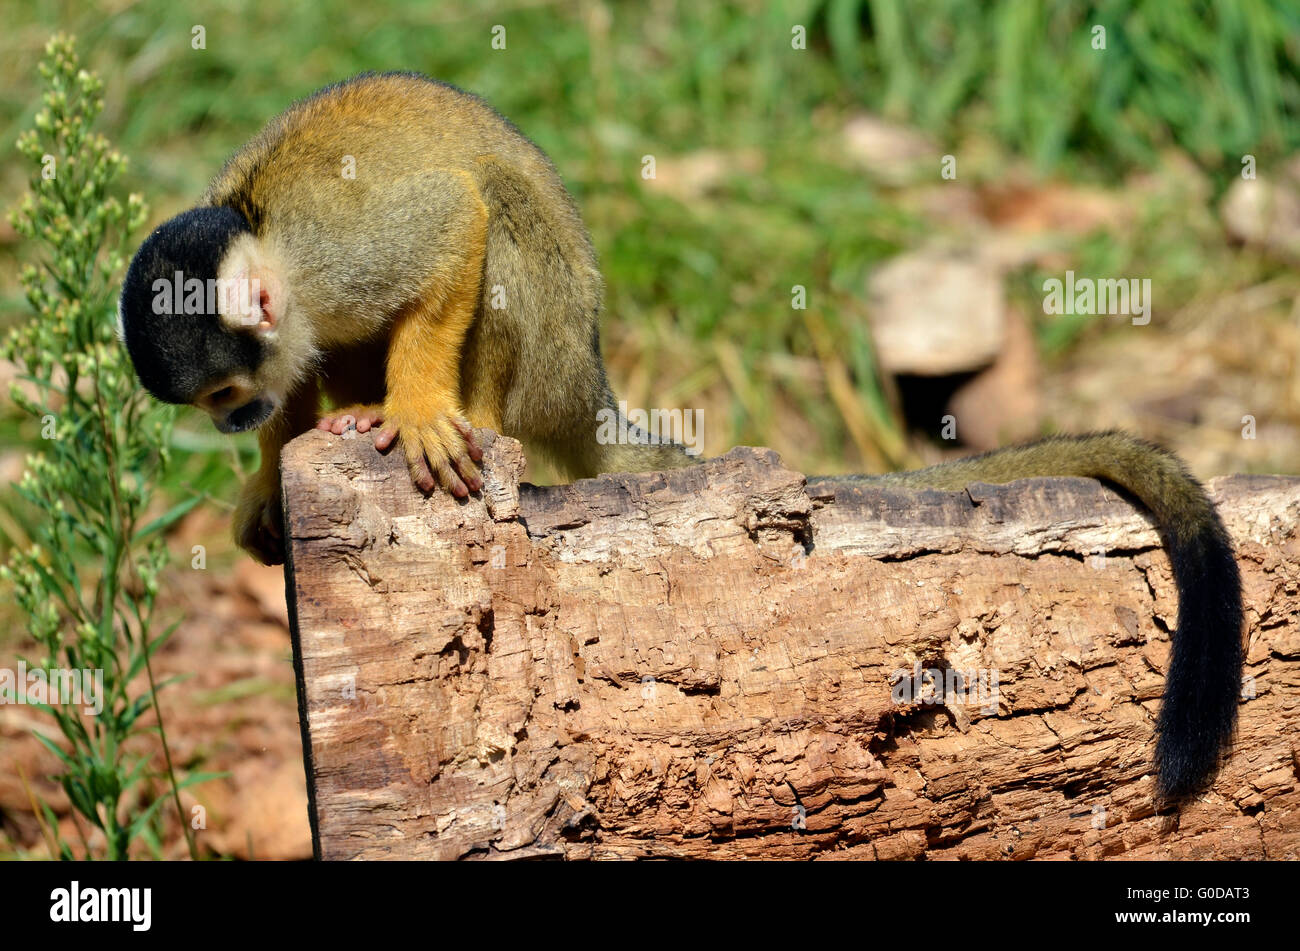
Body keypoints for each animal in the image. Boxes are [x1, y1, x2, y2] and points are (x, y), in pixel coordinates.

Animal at [117, 73, 1240, 805]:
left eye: (223, 390)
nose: (229, 420)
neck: (272, 250)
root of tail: (588, 384)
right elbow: (304, 374)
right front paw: (268, 477)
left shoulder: (342, 258)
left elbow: (450, 228)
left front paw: (424, 408)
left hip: (554, 351)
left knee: (500, 215)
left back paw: (465, 413)